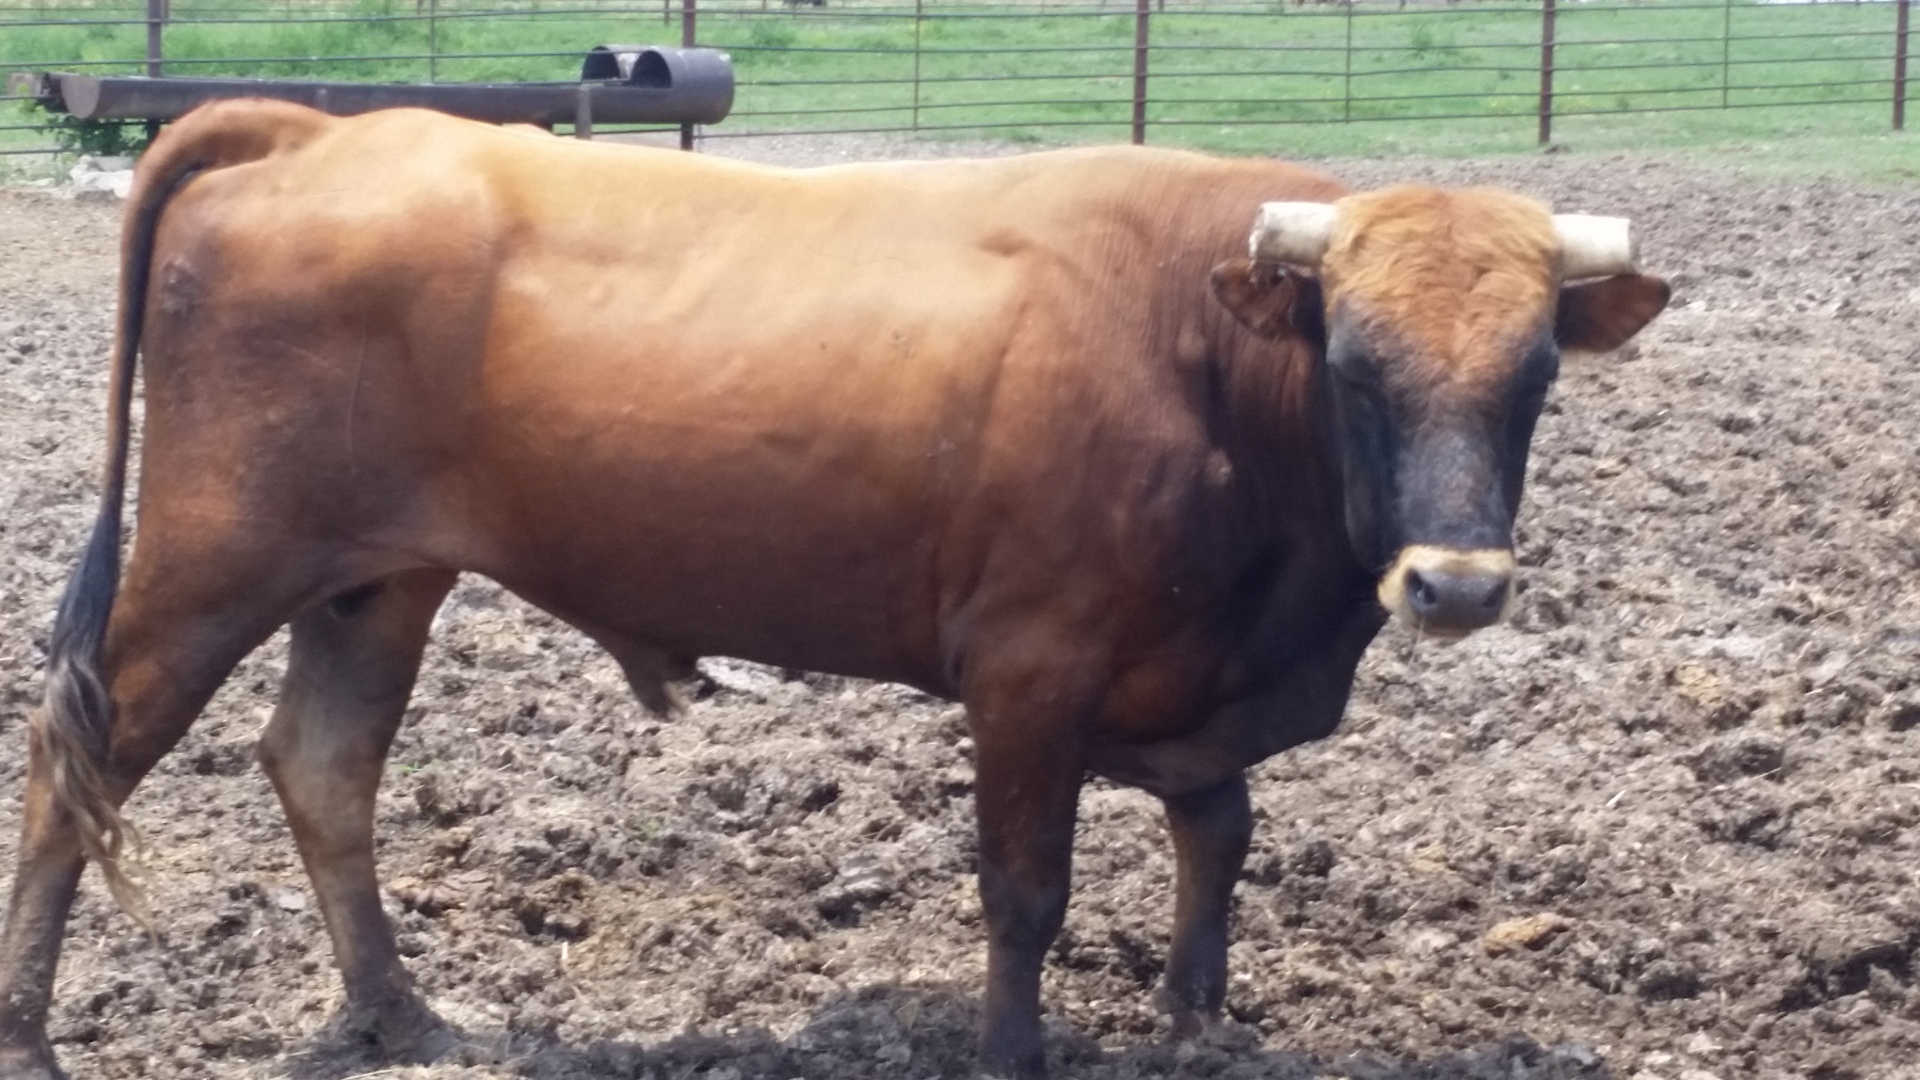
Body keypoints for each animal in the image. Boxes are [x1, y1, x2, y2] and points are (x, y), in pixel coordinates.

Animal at [0, 100, 1667, 1080]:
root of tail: (319, 131)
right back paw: (30, 1031)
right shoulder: (1031, 669)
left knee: (324, 767)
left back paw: (393, 1016)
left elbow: (1220, 834)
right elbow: (1027, 890)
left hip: (378, 579)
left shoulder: (1193, 669)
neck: (1201, 357)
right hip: (213, 558)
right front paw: (1014, 1056)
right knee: (76, 764)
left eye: (1531, 375)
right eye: (1357, 365)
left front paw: (1200, 1022)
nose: (1456, 586)